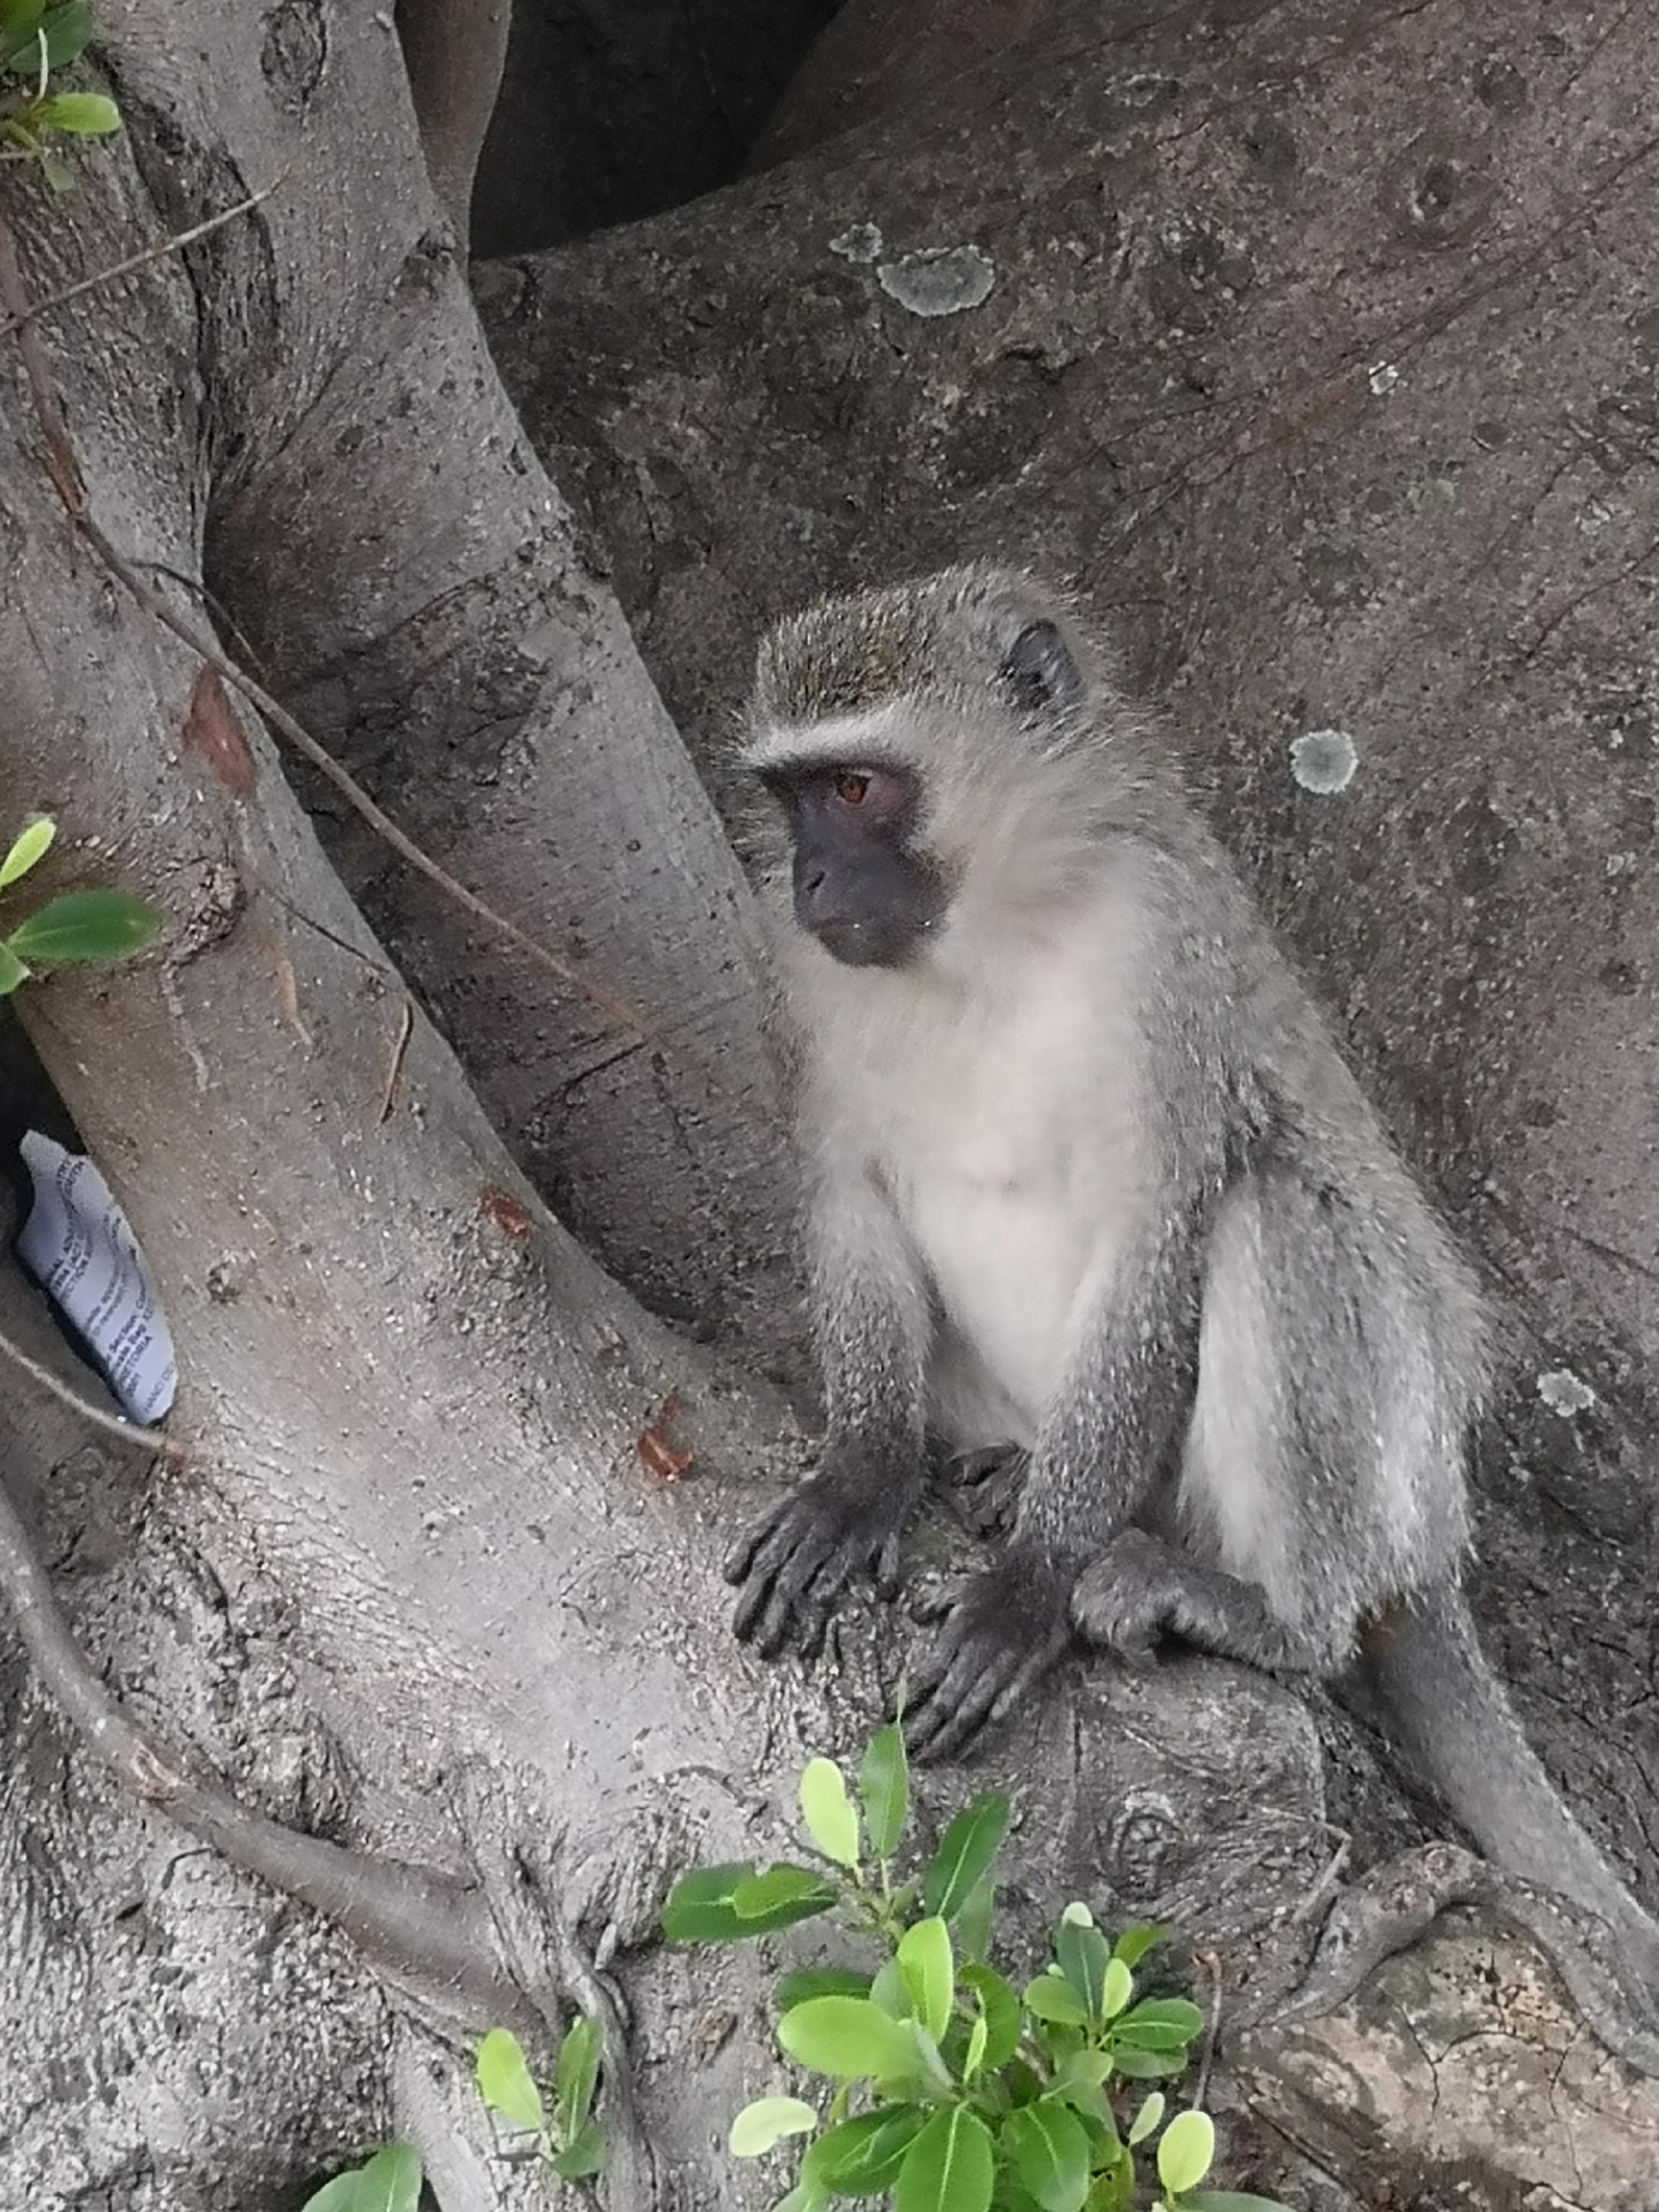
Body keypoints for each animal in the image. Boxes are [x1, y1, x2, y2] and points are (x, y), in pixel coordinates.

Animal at [723, 561, 1659, 1992]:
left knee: (1276, 1211)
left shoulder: (1157, 947)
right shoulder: (808, 984)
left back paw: (1261, 1612)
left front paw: (1032, 1583)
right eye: (791, 797)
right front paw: (861, 1473)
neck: (987, 936)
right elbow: (853, 1198)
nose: (810, 876)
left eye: (860, 788)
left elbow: (1158, 1228)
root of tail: (1434, 1536)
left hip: (1386, 1456)